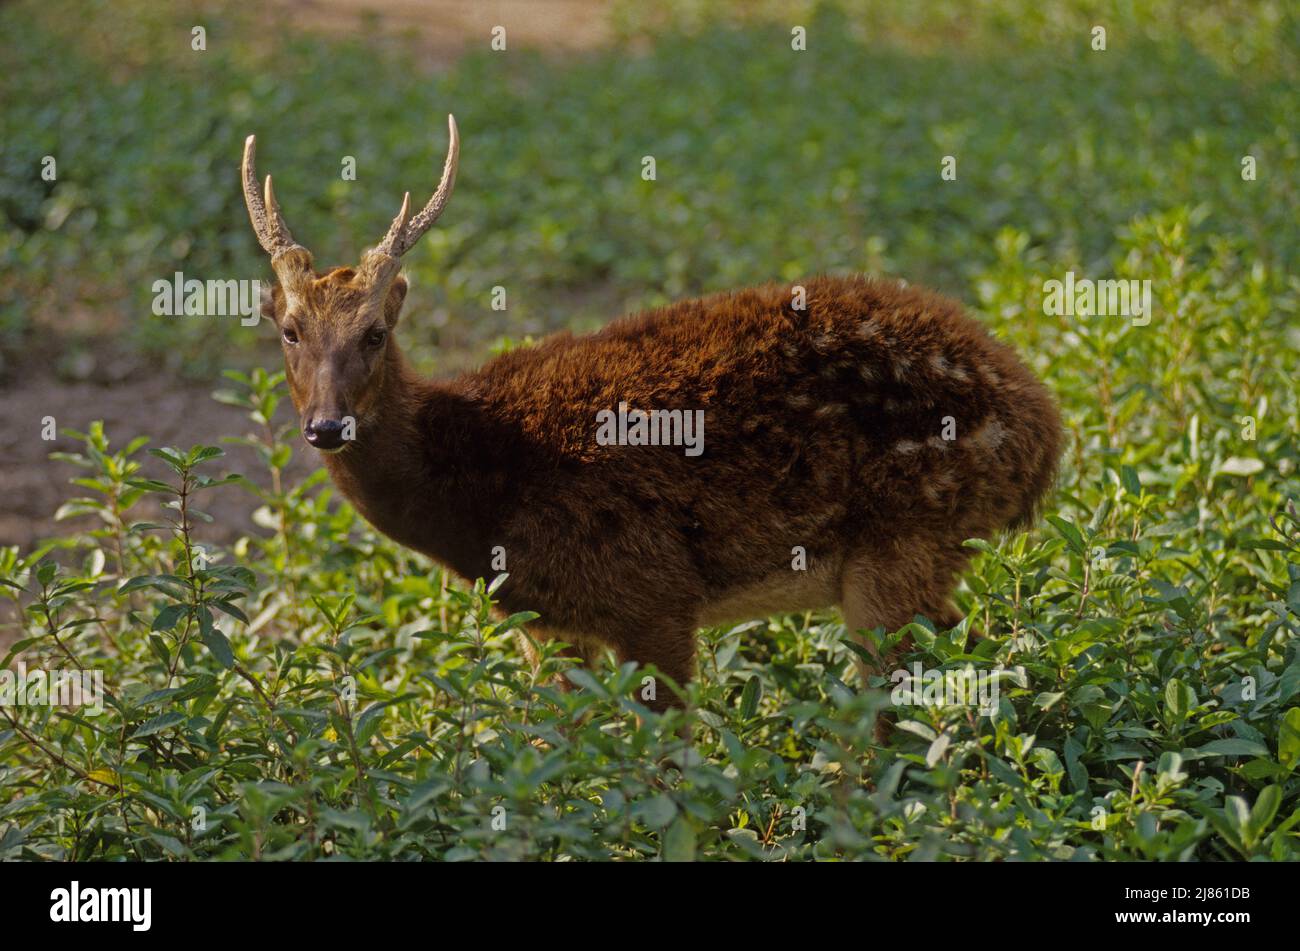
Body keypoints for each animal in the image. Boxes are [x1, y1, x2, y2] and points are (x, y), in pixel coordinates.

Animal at [240, 115, 1062, 715]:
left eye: (376, 332)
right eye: (290, 330)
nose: (326, 426)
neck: (481, 498)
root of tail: (1045, 430)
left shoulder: (654, 590)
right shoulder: (541, 622)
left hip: (903, 536)